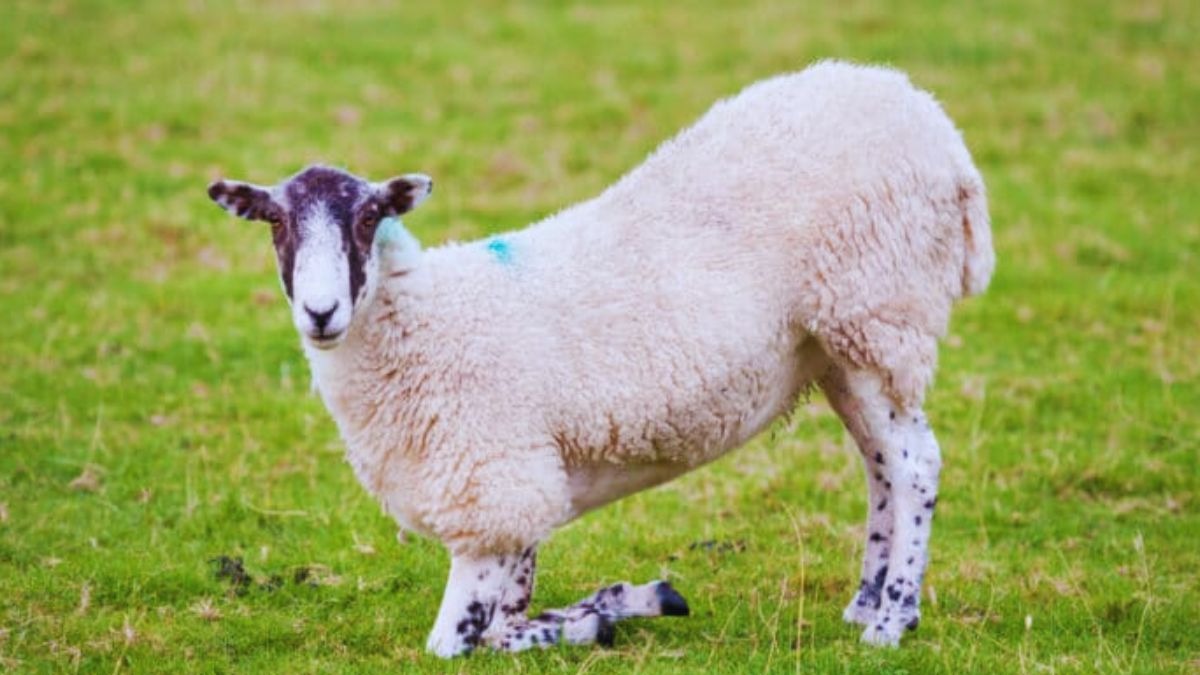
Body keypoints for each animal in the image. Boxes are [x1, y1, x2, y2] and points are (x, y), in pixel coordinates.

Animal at [205, 60, 993, 657]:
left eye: (369, 218)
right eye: (275, 223)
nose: (320, 312)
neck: (429, 322)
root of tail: (933, 123)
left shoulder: (490, 488)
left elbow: (458, 641)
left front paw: (605, 613)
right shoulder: (522, 493)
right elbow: (510, 620)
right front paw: (613, 606)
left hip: (877, 310)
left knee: (915, 464)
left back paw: (894, 619)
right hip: (838, 346)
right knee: (881, 463)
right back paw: (864, 602)